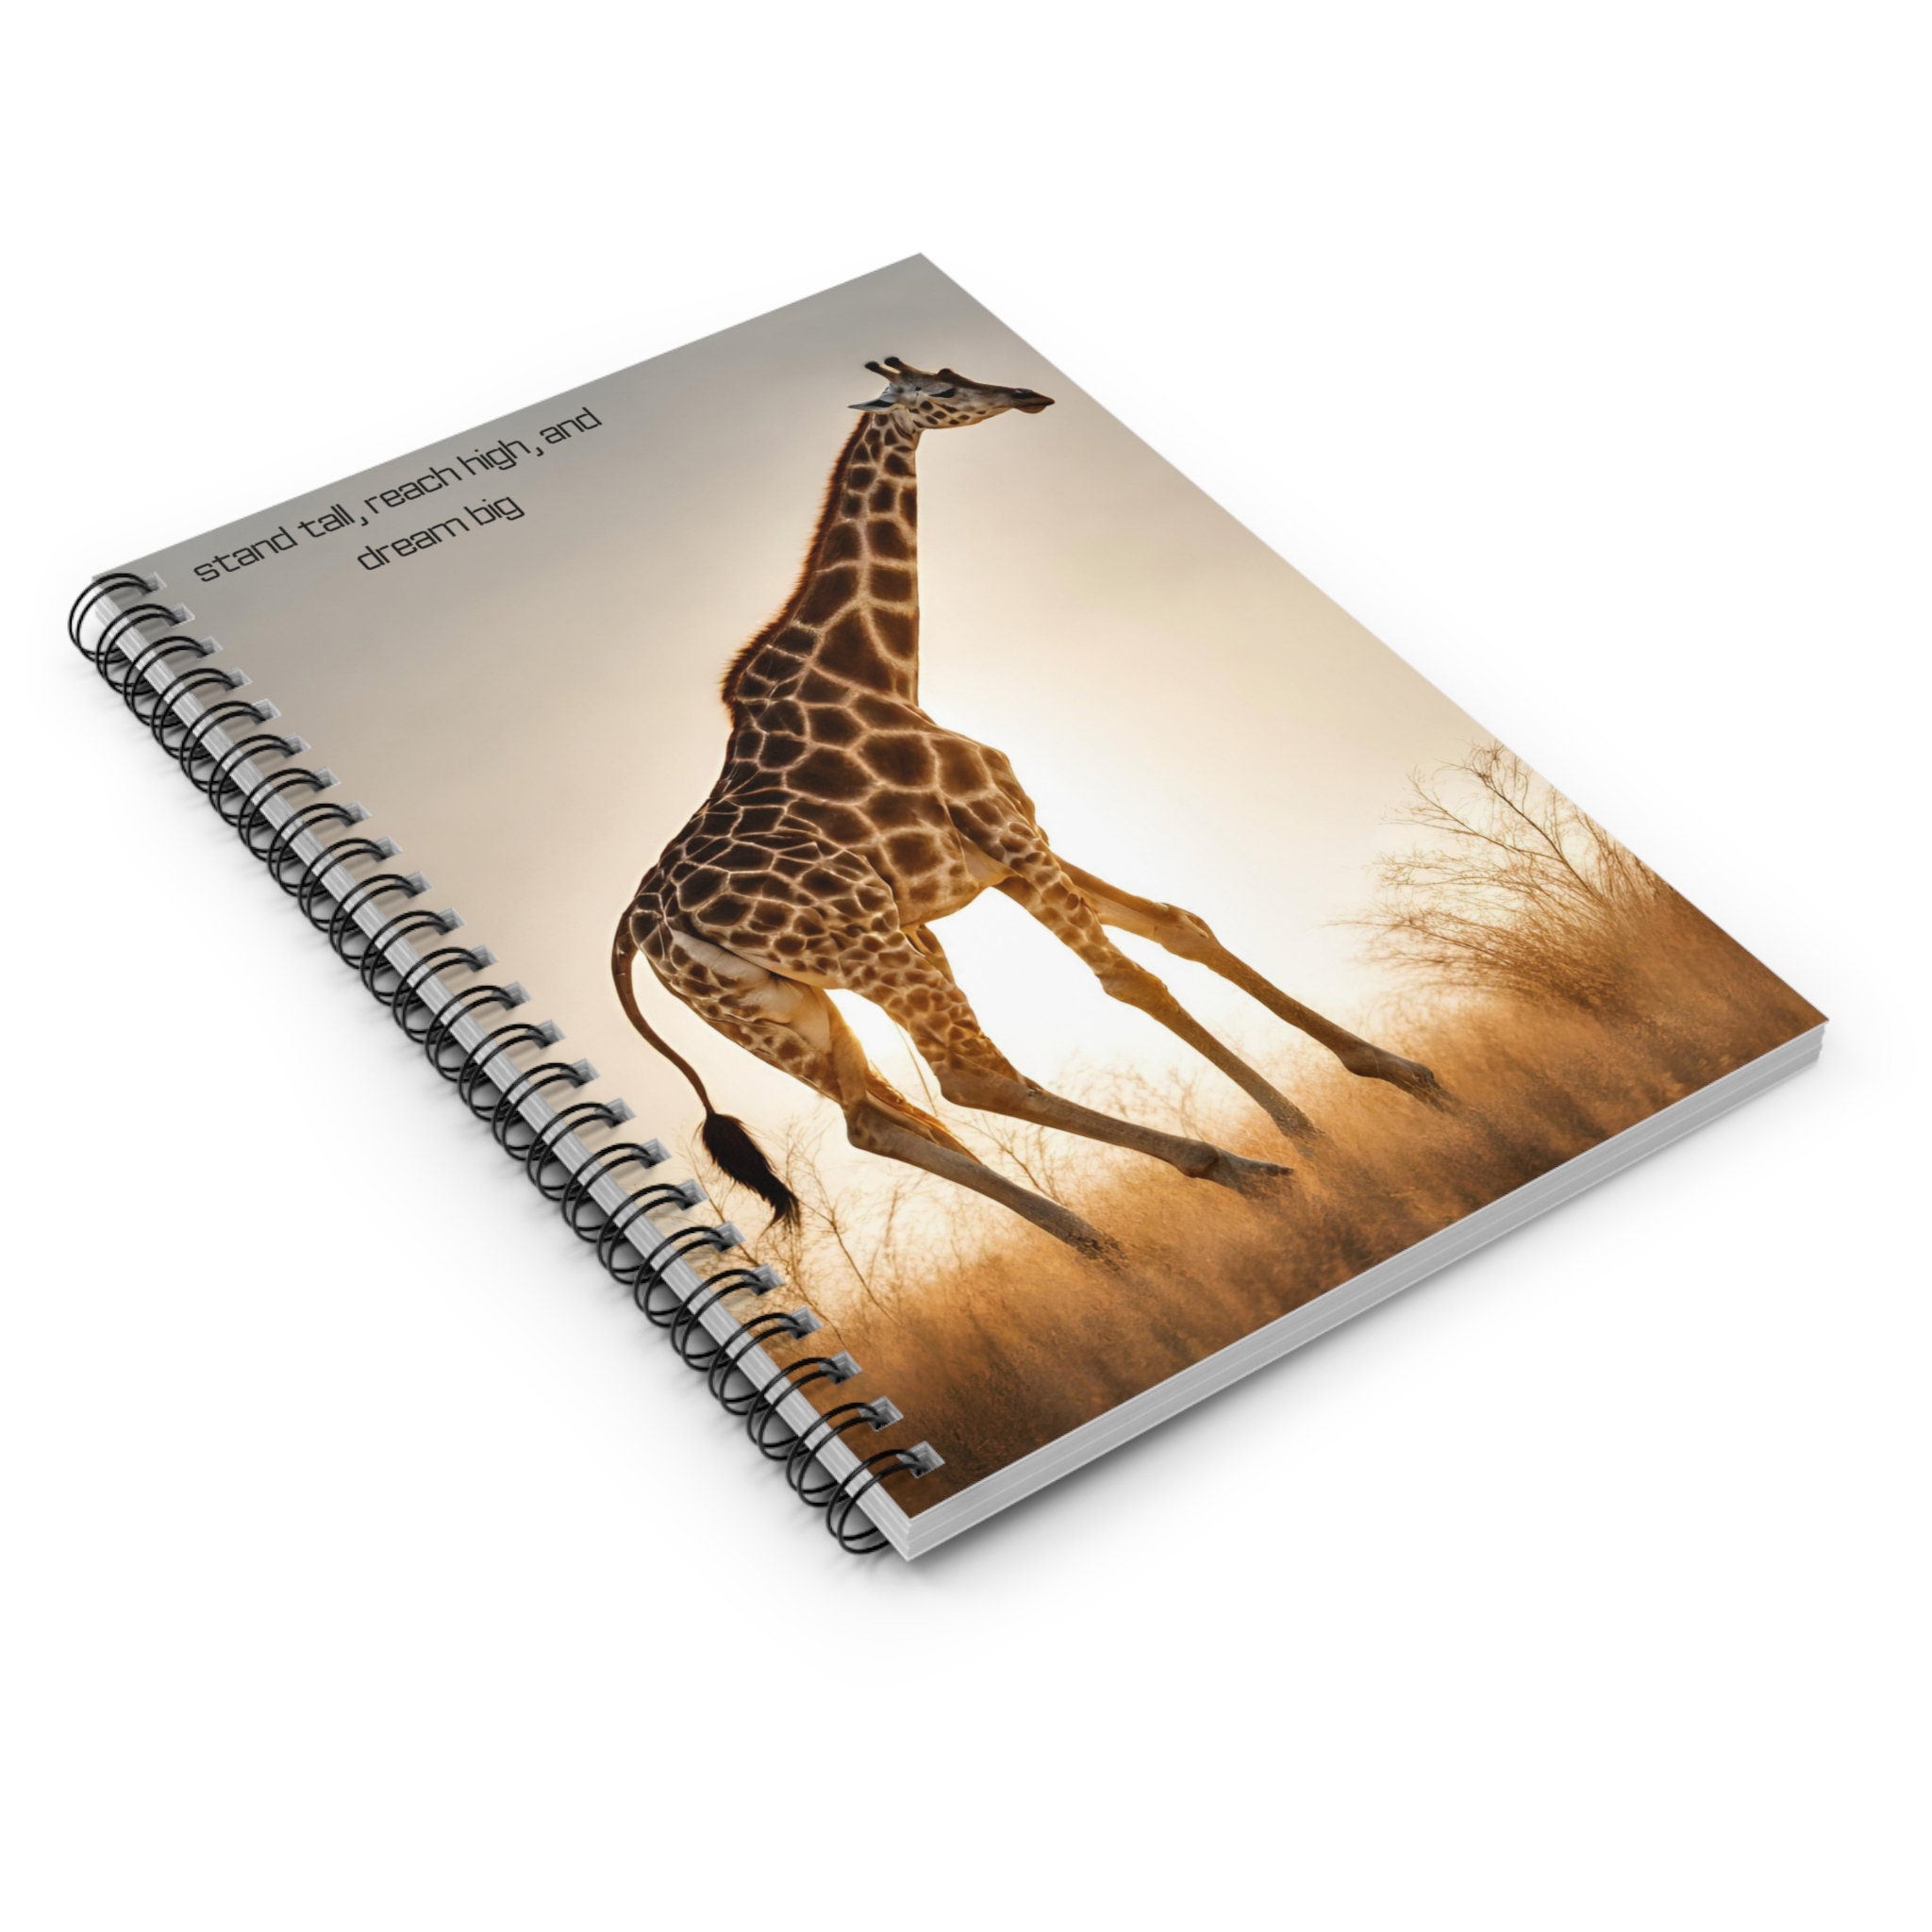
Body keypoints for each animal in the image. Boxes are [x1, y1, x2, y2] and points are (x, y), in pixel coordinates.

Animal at [612, 356, 1440, 1258]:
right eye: (941, 385)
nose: (1025, 395)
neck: (872, 670)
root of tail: (639, 937)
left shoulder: (1005, 839)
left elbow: (1178, 927)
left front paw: (1411, 1077)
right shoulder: (1002, 829)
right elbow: (1131, 979)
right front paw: (1315, 1137)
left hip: (780, 1009)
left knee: (879, 1118)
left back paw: (1104, 1249)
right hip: (869, 946)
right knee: (969, 1077)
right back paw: (1233, 1173)